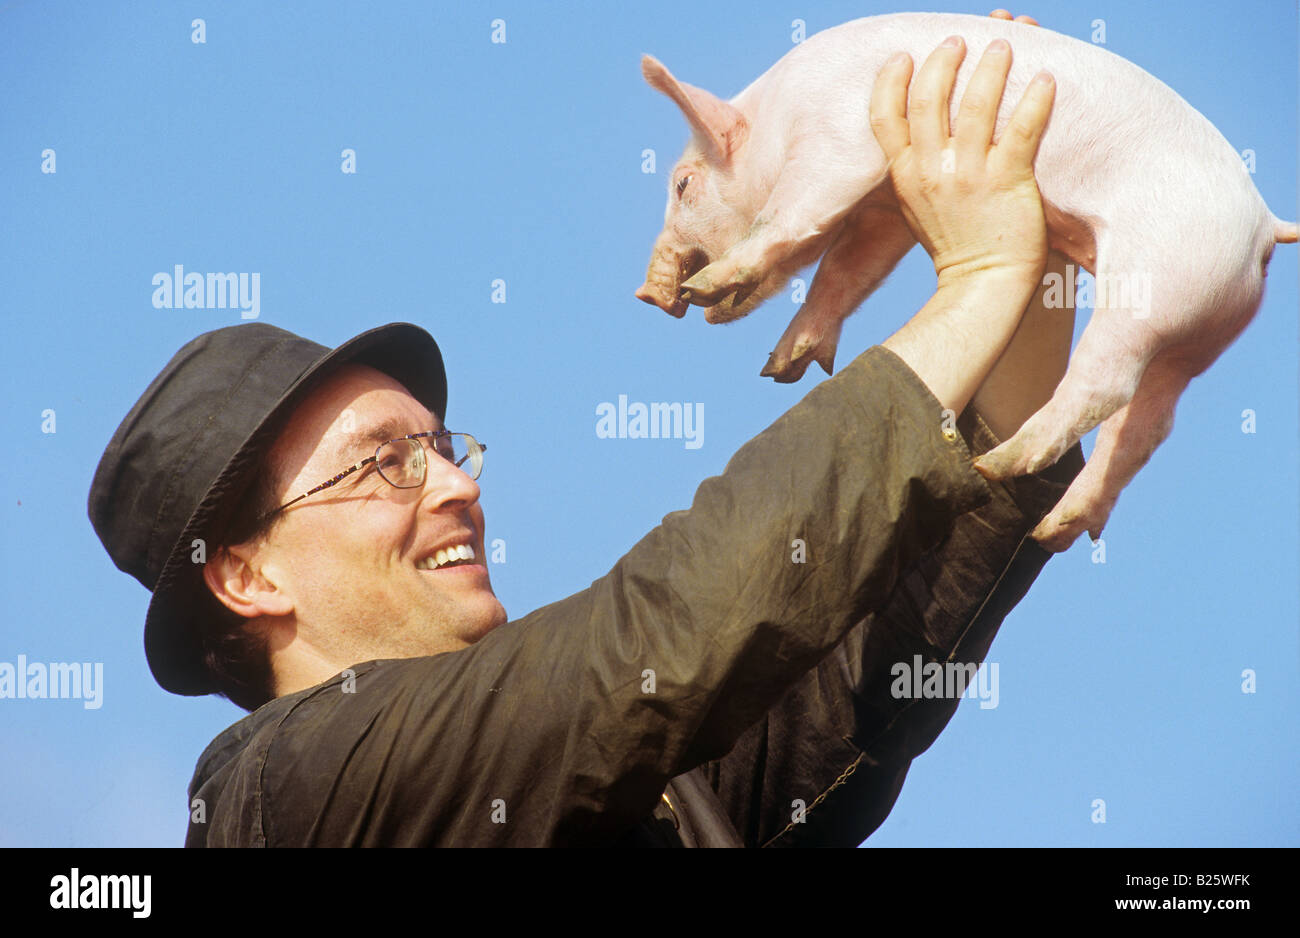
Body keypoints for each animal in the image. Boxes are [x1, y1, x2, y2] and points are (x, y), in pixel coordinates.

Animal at [634, 11, 1296, 552]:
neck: (781, 116)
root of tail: (1265, 225)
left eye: (683, 185)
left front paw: (710, 283)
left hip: (1157, 281)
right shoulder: (883, 206)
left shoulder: (839, 142)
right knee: (1150, 423)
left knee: (1107, 383)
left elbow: (792, 213)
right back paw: (1056, 527)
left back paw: (995, 467)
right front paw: (783, 367)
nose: (647, 293)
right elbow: (847, 269)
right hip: (1197, 330)